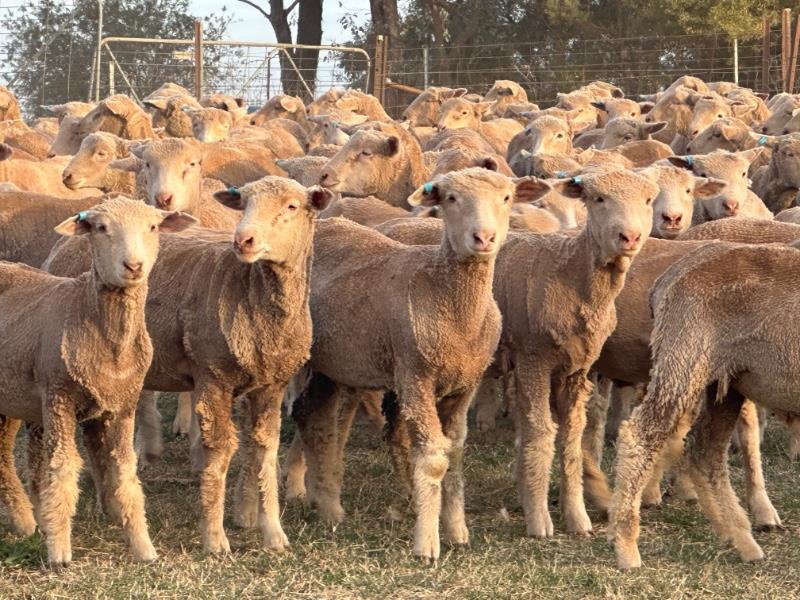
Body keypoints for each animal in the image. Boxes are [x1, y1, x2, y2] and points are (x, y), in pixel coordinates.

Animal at [0, 196, 196, 566]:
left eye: (153, 227)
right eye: (101, 228)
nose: (133, 265)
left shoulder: (123, 404)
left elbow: (123, 470)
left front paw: (143, 546)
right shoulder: (59, 398)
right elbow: (63, 469)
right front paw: (60, 552)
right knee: (5, 457)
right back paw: (24, 519)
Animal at [45, 177, 333, 554]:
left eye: (292, 206)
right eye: (244, 205)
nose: (243, 240)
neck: (250, 293)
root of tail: (62, 246)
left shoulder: (272, 384)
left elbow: (266, 452)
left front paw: (273, 533)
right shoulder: (214, 377)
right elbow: (220, 453)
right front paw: (215, 537)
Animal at [290, 168, 552, 561]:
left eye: (507, 198)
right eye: (451, 198)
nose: (484, 238)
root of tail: (326, 223)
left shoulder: (466, 384)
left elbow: (455, 453)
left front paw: (457, 530)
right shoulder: (415, 378)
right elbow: (432, 458)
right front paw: (427, 542)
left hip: (330, 366)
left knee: (312, 419)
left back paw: (328, 507)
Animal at [493, 169, 657, 538]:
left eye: (648, 200)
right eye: (598, 198)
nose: (630, 236)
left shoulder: (577, 370)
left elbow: (571, 440)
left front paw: (577, 517)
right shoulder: (534, 361)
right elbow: (542, 433)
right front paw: (539, 521)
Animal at [608, 238, 800, 569]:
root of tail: (670, 277)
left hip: (727, 381)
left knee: (705, 451)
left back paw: (743, 540)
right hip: (683, 359)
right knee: (641, 435)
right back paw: (626, 546)